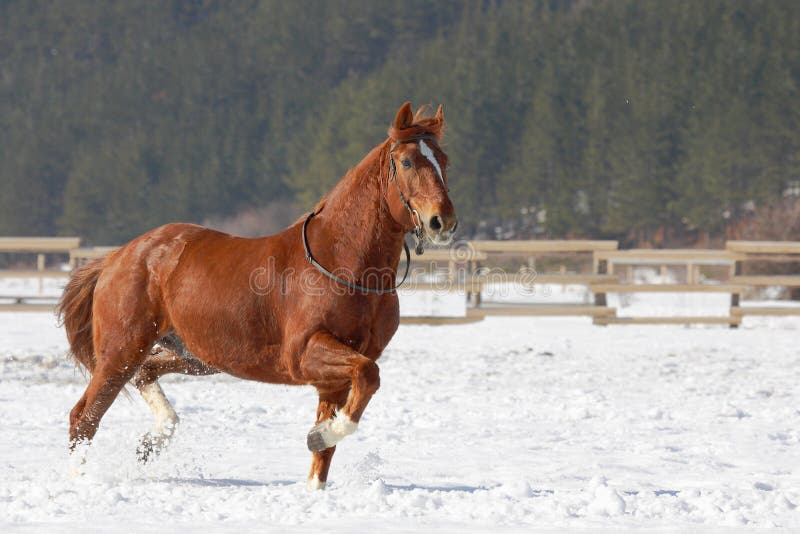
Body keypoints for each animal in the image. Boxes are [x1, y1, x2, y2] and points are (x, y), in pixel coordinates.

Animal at [57, 102, 457, 489]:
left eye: (444, 159)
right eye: (406, 161)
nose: (443, 222)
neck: (342, 264)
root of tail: (119, 256)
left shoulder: (335, 375)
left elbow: (330, 445)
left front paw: (317, 468)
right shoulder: (306, 353)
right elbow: (367, 377)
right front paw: (319, 434)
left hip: (195, 355)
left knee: (146, 373)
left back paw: (155, 438)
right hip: (122, 350)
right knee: (84, 416)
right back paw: (79, 481)